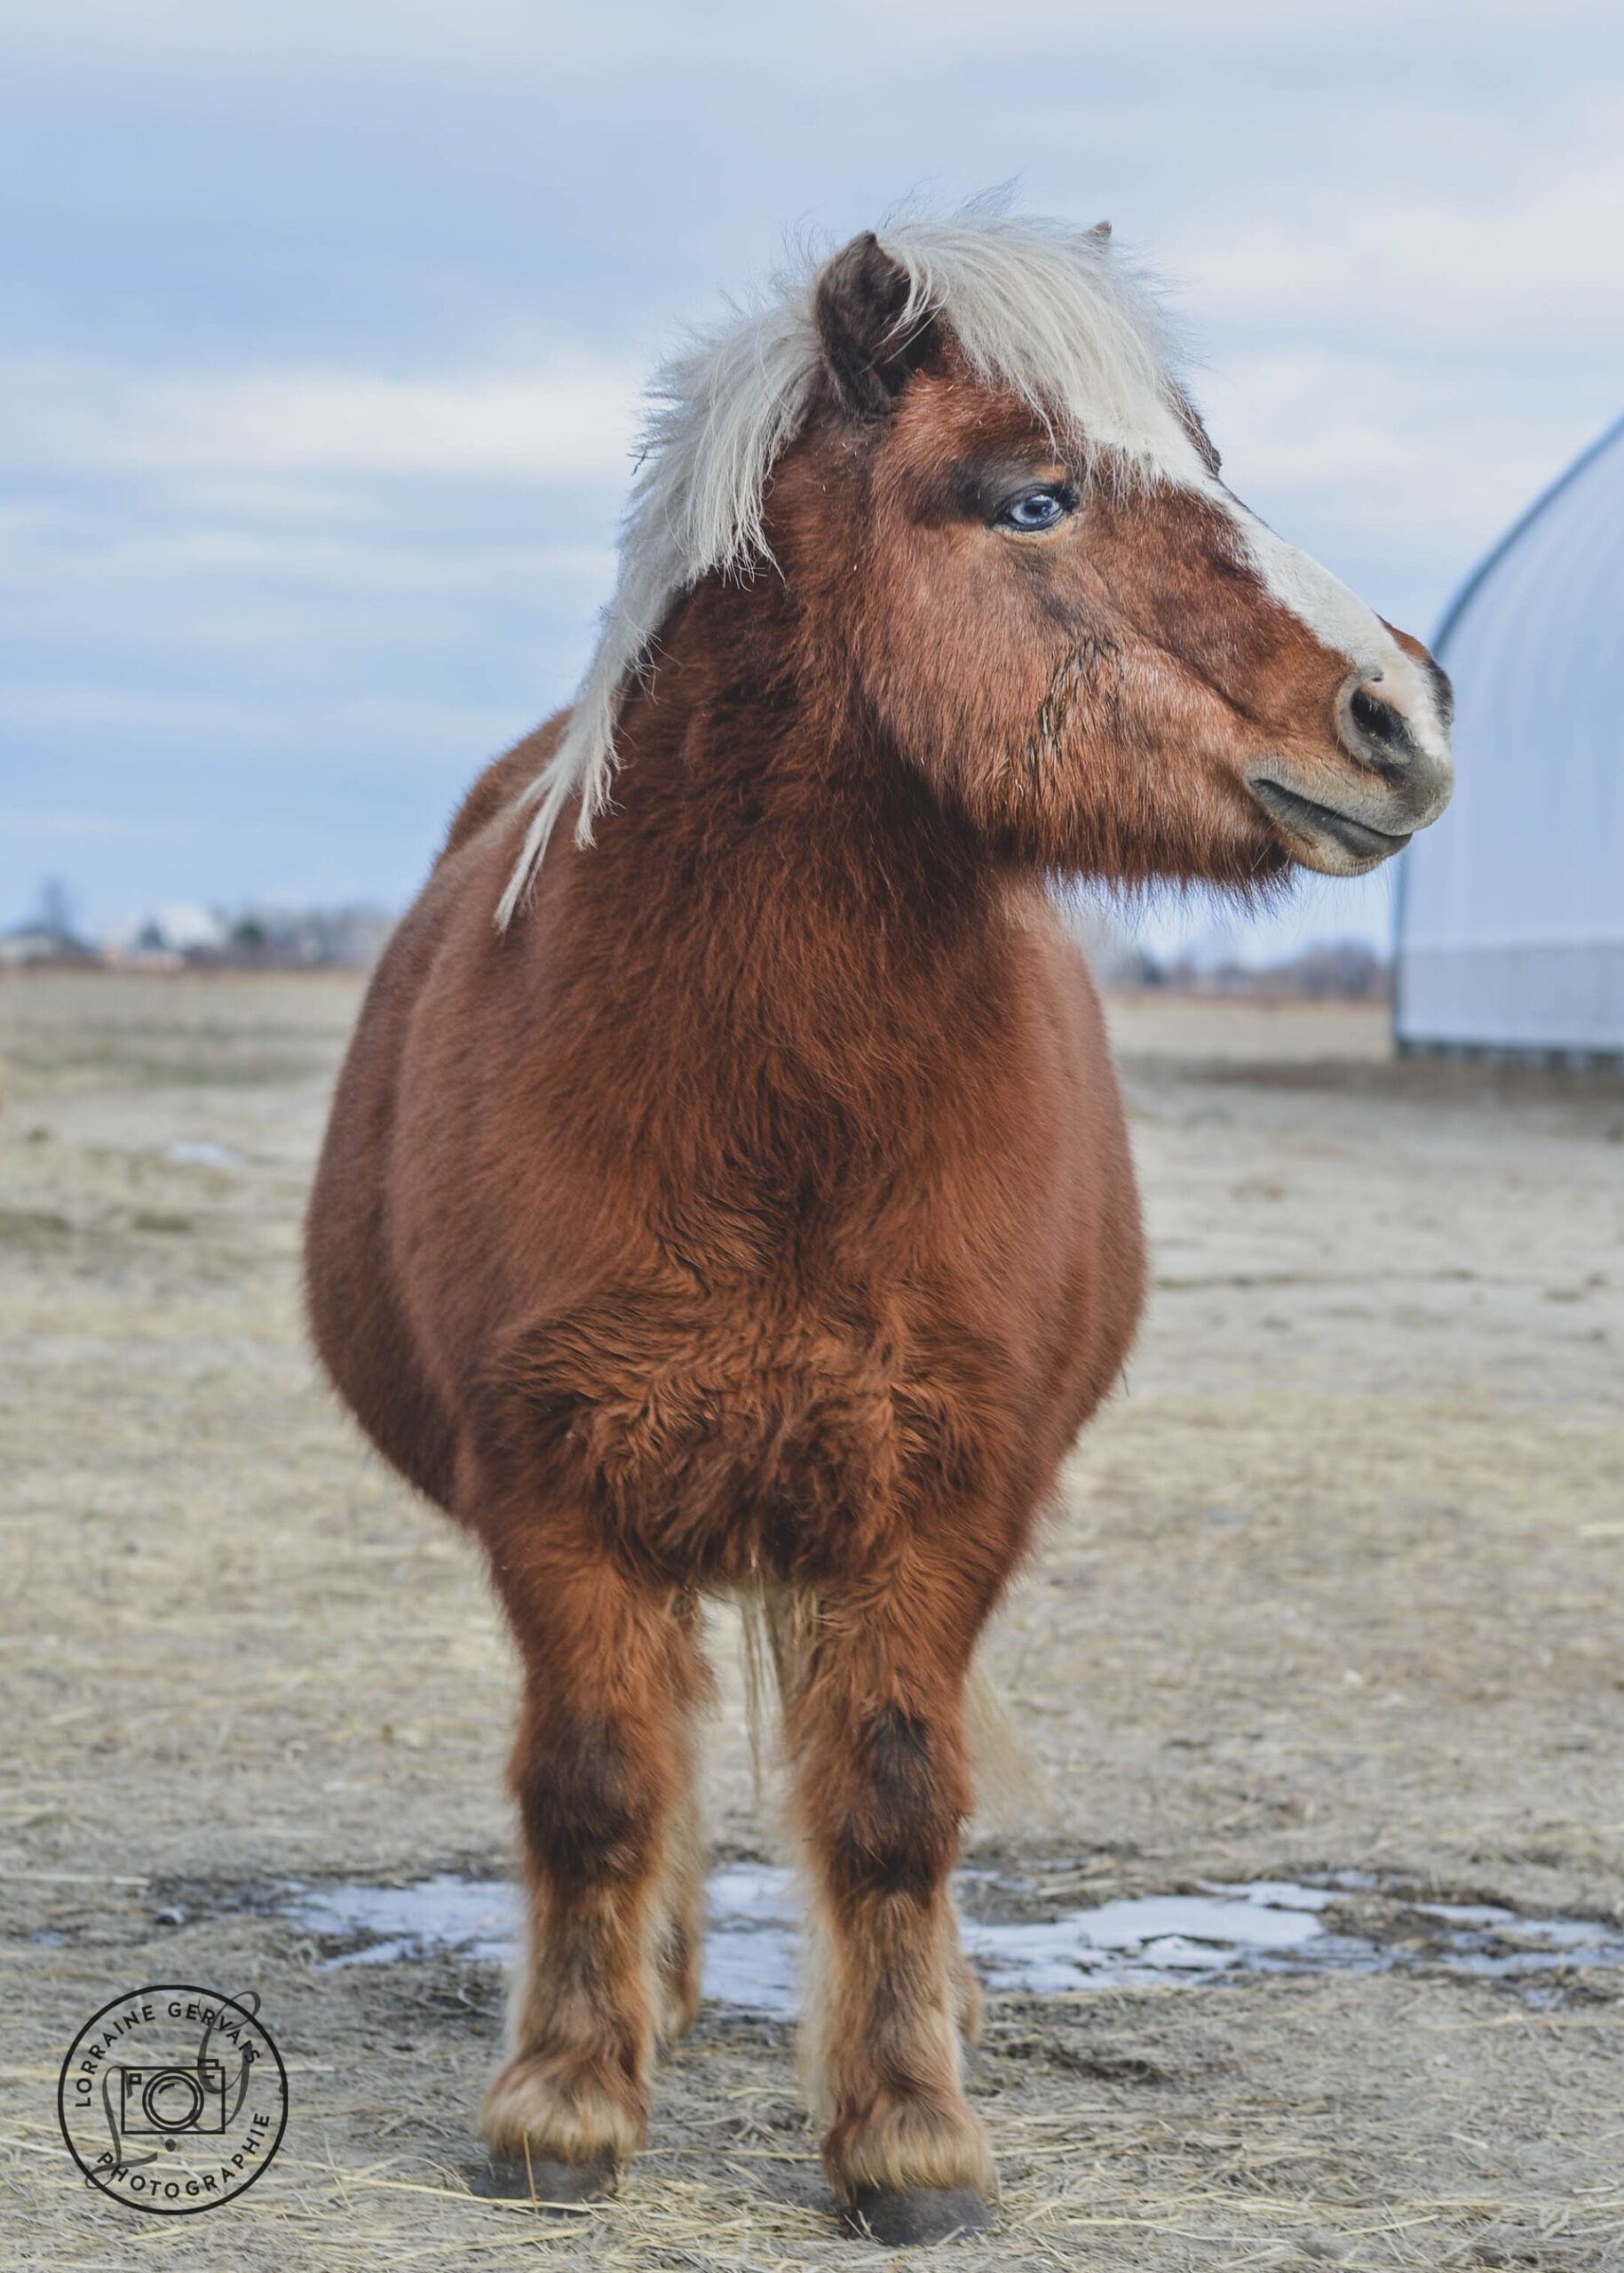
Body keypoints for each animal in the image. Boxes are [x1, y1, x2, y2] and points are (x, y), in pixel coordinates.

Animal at [305, 207, 1453, 2246]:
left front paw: (910, 2132)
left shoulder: (937, 1498)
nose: (1399, 713)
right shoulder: (557, 1491)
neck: (766, 1096)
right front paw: (564, 2101)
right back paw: (663, 1992)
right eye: (1027, 497)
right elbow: (597, 1784)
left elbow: (897, 1800)